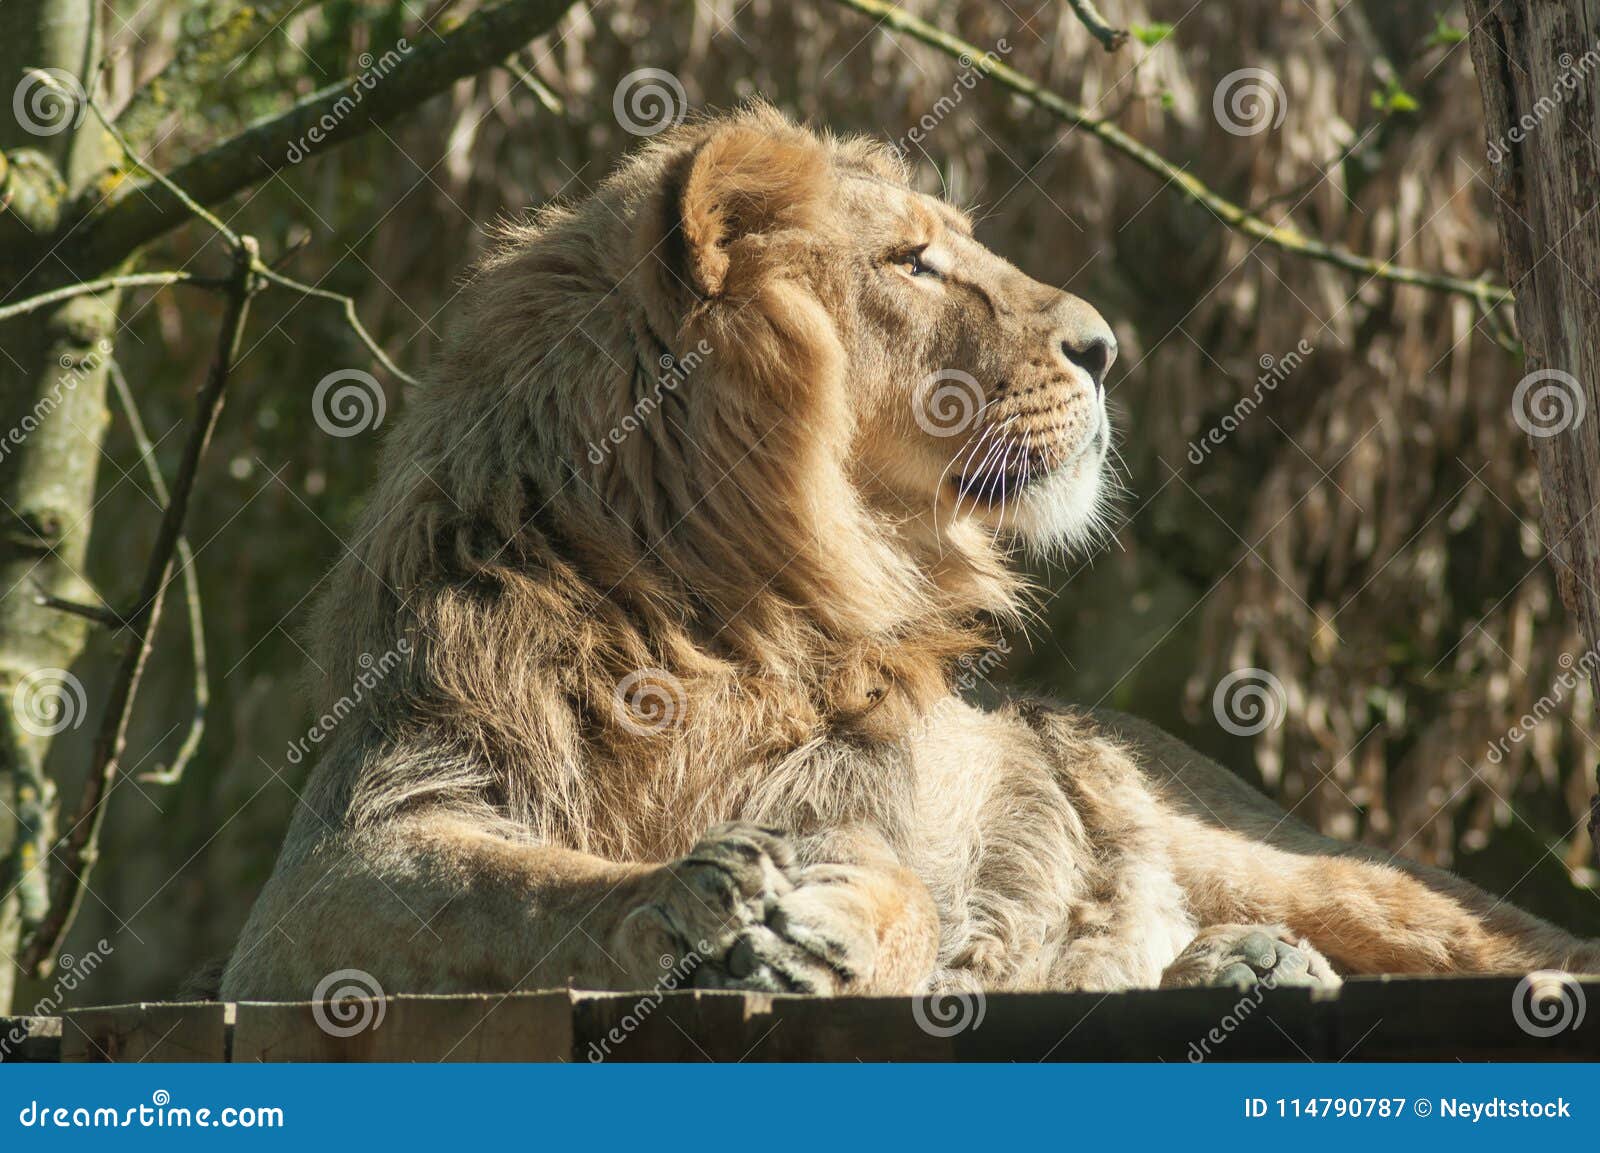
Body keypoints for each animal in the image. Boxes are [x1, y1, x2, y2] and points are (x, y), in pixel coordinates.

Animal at [221, 104, 1600, 1002]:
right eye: (913, 261)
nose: (1106, 348)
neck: (709, 604)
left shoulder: (884, 811)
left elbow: (911, 889)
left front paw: (821, 924)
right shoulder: (343, 866)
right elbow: (512, 890)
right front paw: (671, 900)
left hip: (1293, 857)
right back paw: (1237, 963)